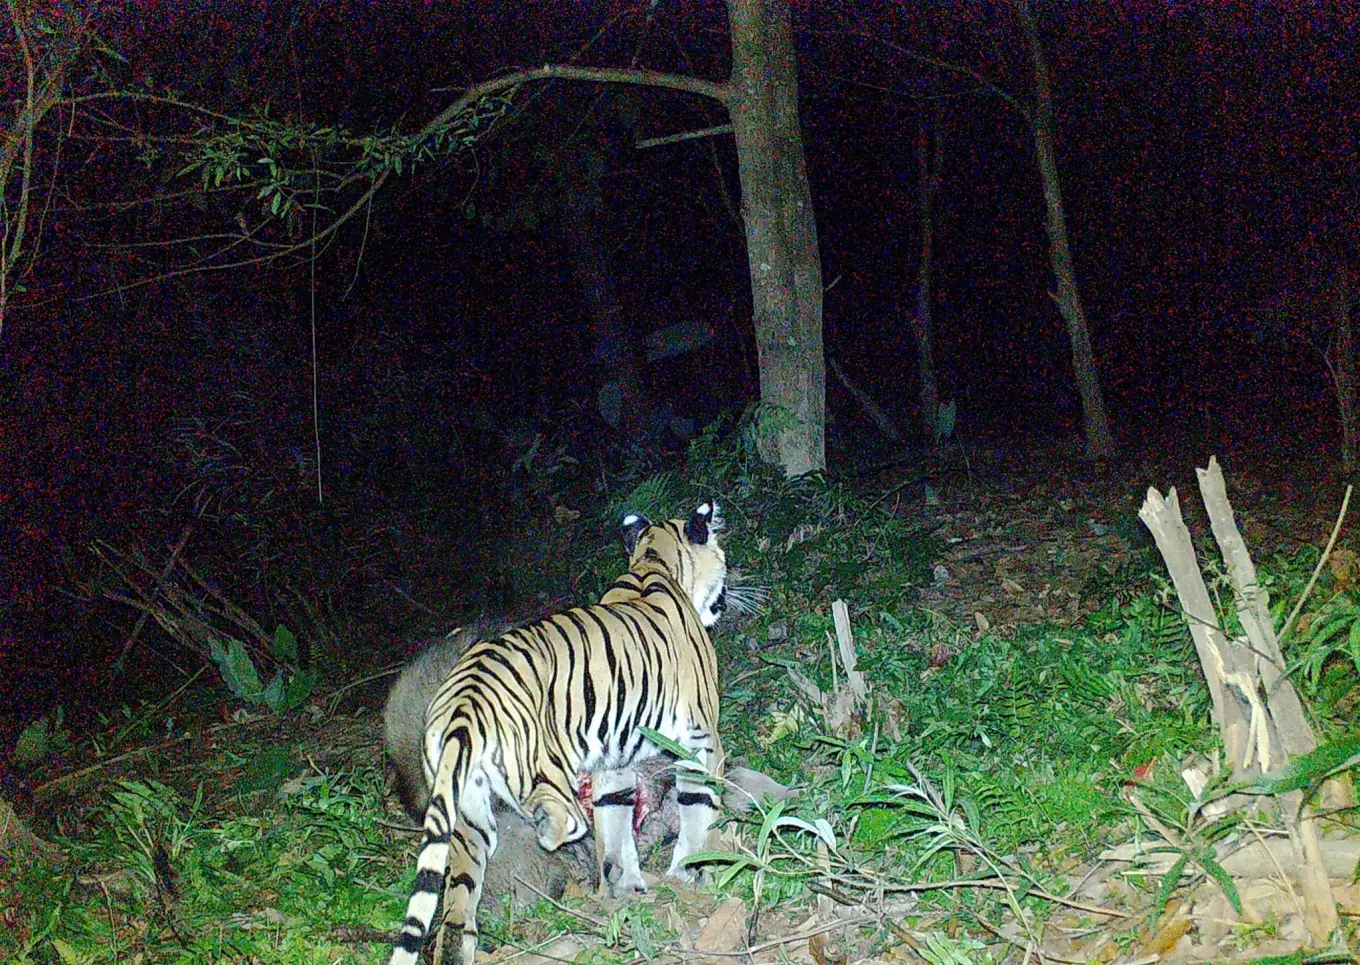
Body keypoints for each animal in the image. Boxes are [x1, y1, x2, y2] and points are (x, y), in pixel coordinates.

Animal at [388, 502, 729, 965]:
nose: (725, 599)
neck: (652, 560)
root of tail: (463, 704)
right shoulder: (701, 738)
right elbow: (697, 808)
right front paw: (690, 871)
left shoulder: (615, 762)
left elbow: (616, 826)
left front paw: (624, 884)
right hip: (540, 775)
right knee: (557, 821)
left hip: (465, 822)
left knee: (457, 912)